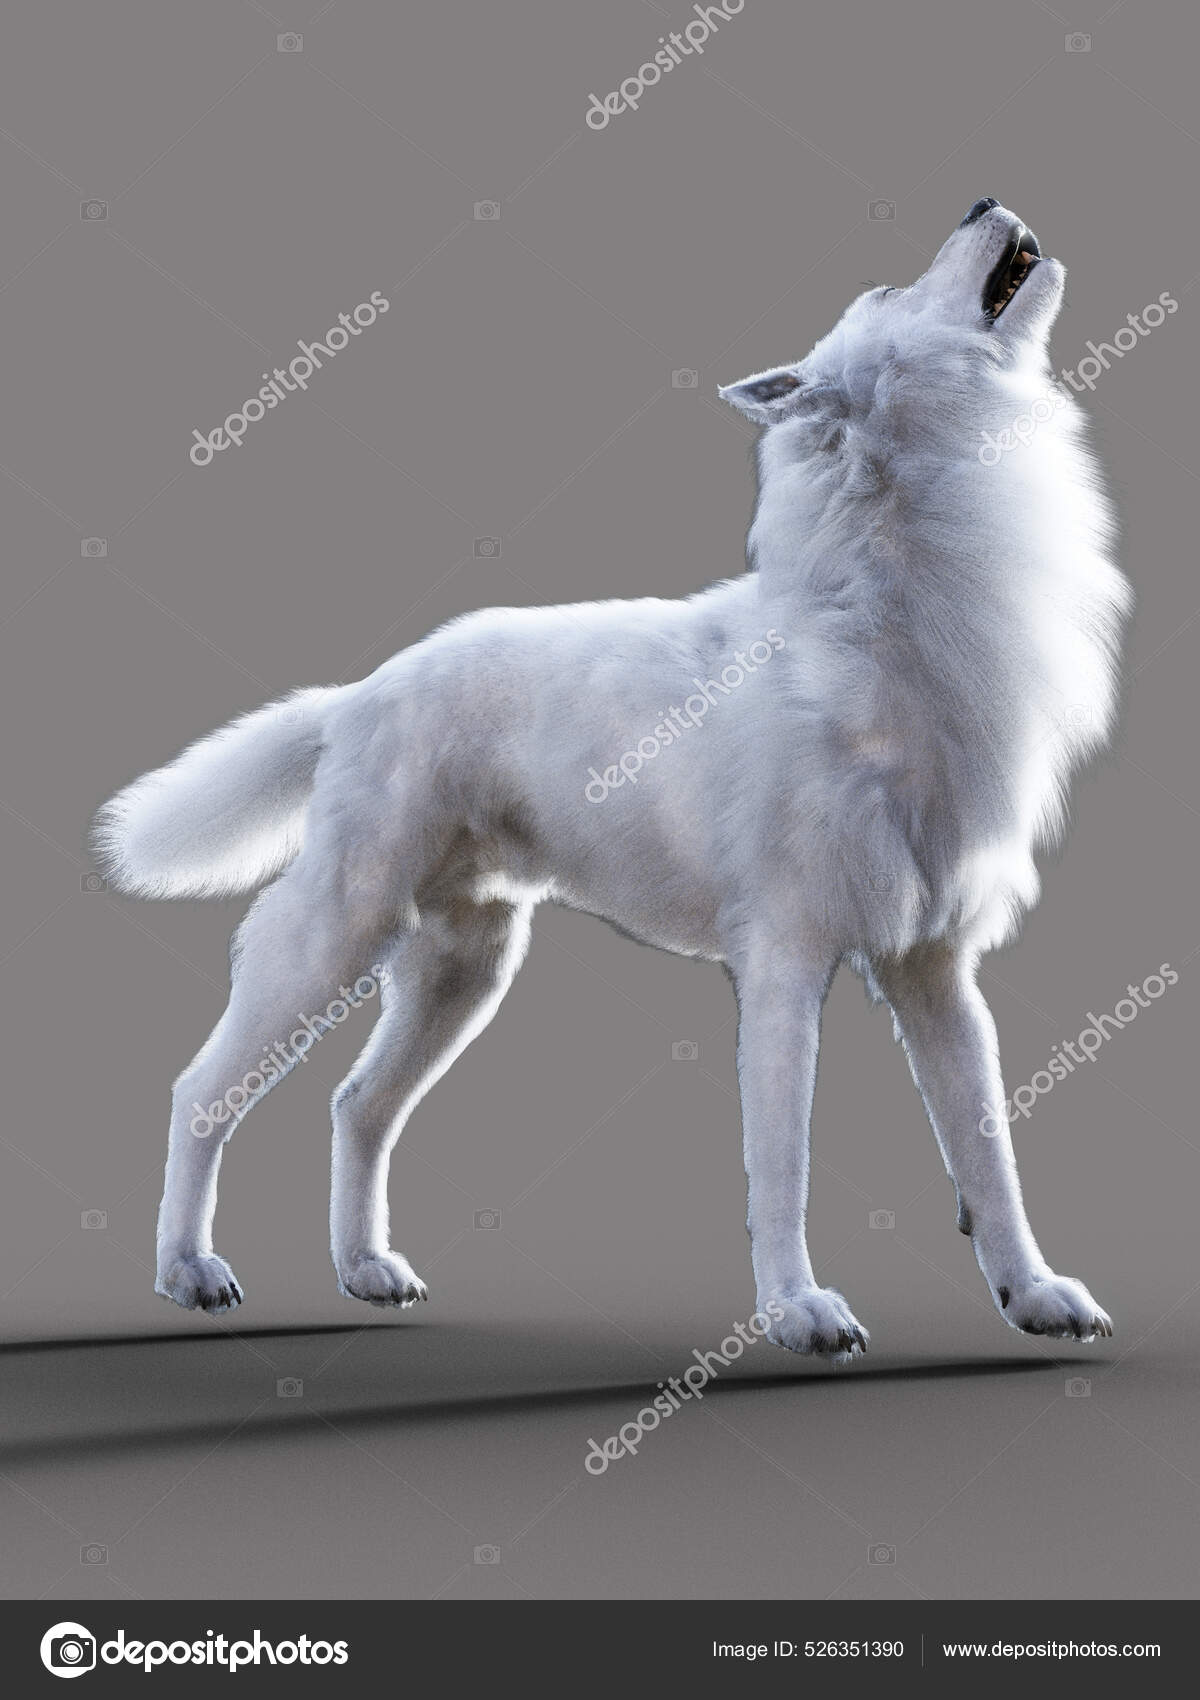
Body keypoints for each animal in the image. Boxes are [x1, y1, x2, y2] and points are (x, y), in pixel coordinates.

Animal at [94, 198, 1130, 1355]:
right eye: (888, 292)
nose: (980, 202)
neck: (883, 619)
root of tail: (360, 691)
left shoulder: (938, 970)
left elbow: (991, 1158)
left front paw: (1034, 1296)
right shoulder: (784, 965)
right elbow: (783, 1161)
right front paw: (798, 1312)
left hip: (466, 972)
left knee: (357, 1105)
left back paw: (367, 1271)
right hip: (334, 937)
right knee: (199, 1093)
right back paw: (189, 1272)